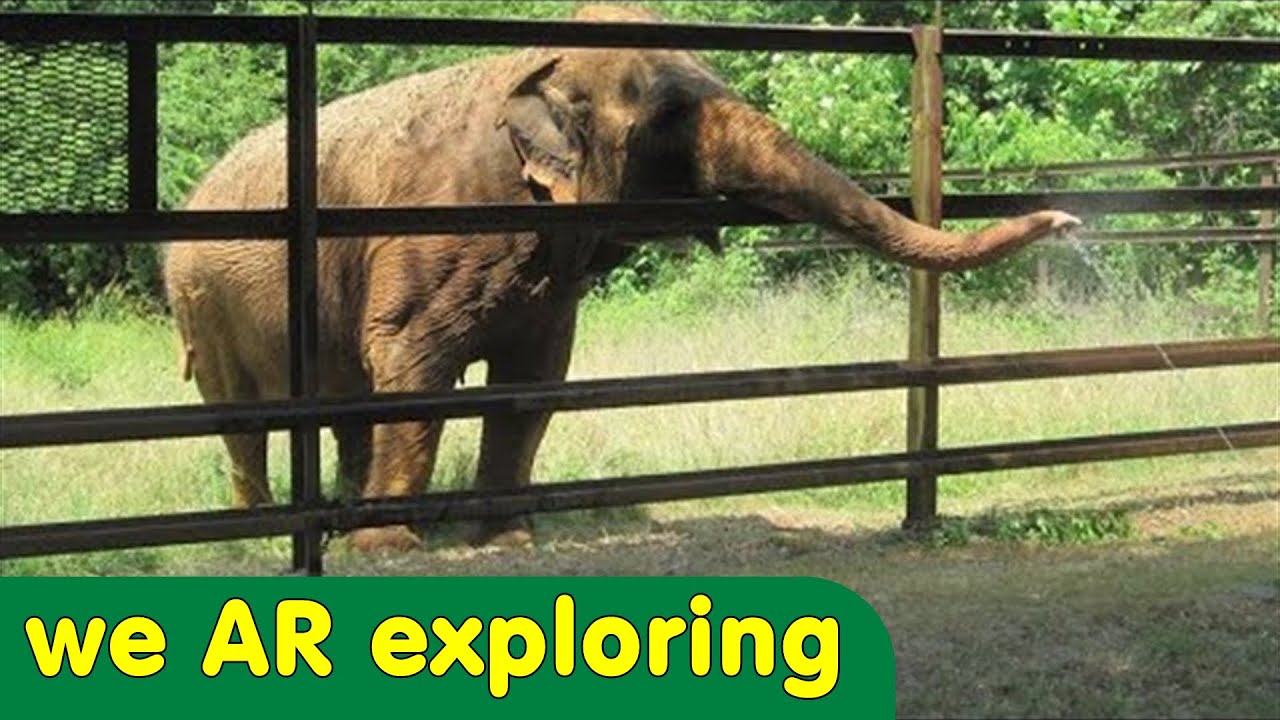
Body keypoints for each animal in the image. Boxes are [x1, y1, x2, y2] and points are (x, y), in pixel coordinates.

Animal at [162, 3, 1080, 553]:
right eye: (670, 115)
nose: (1069, 222)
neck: (532, 65)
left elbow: (533, 385)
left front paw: (507, 545)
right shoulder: (431, 235)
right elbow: (411, 370)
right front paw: (393, 553)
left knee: (343, 400)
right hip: (202, 301)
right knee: (241, 412)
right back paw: (253, 536)